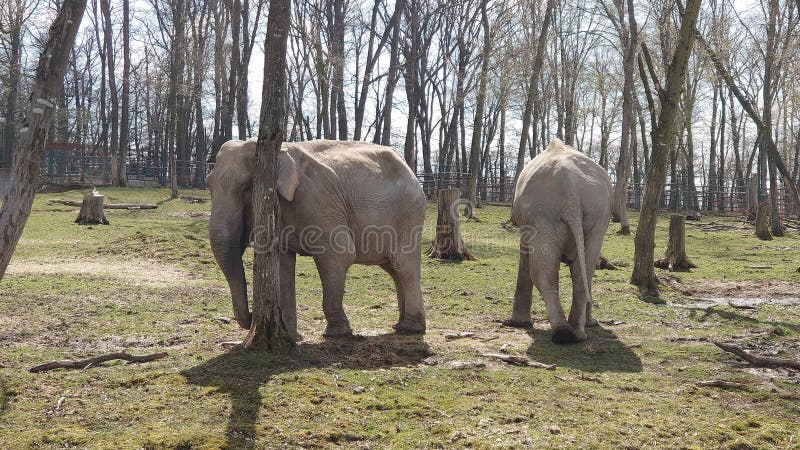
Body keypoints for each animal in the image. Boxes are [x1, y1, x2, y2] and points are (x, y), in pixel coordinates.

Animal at [206, 139, 427, 339]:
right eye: (209, 186)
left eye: (246, 187)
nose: (253, 315)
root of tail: (409, 168)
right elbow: (283, 264)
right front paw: (291, 338)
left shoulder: (321, 202)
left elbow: (338, 256)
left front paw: (336, 334)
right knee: (392, 268)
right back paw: (399, 325)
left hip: (408, 214)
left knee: (403, 266)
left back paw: (410, 328)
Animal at [503, 138, 612, 344]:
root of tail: (571, 189)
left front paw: (516, 324)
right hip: (597, 216)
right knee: (584, 271)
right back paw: (578, 333)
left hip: (543, 215)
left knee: (543, 272)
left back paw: (562, 333)